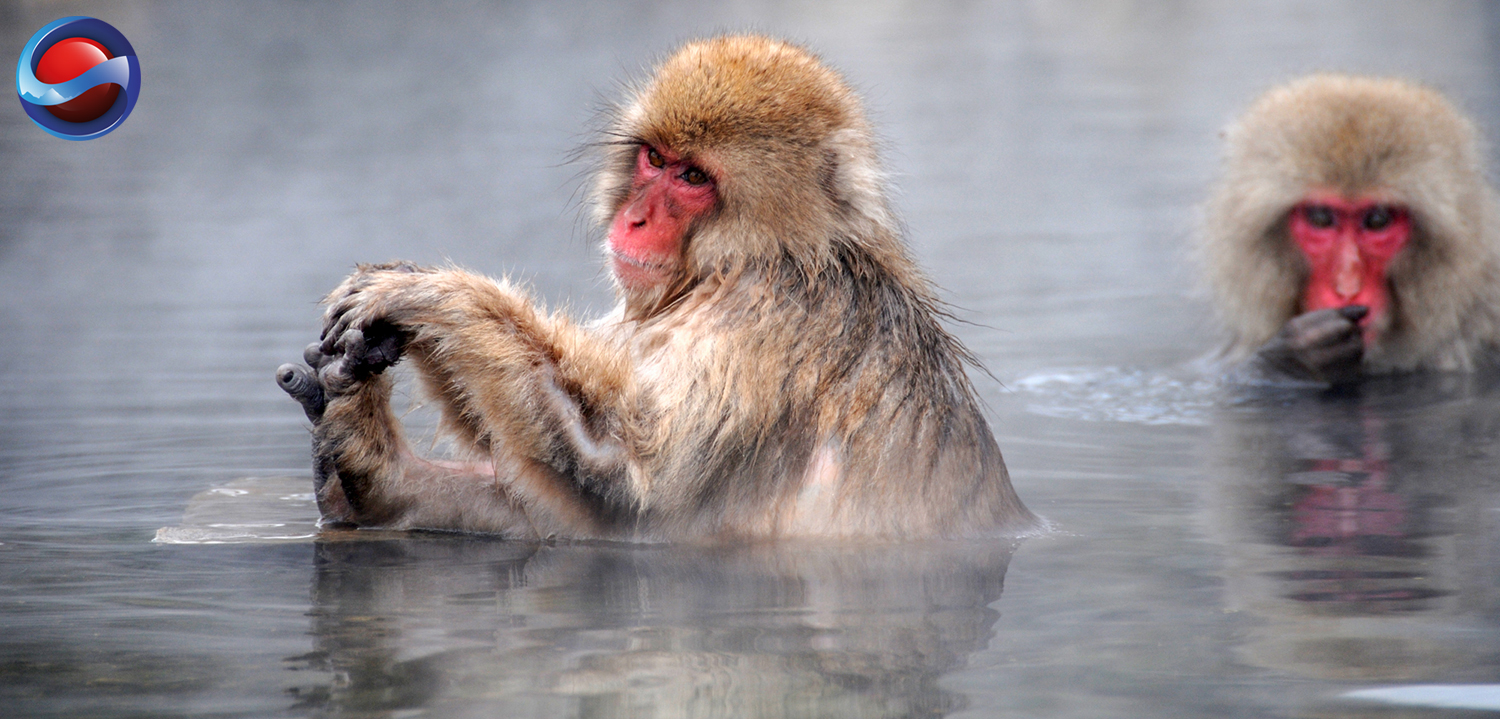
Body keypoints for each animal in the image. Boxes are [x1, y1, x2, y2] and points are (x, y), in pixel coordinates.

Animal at [276, 35, 1039, 541]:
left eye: (693, 177)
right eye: (654, 158)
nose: (636, 218)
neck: (766, 255)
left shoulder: (764, 322)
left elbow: (629, 480)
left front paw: (437, 296)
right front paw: (374, 467)